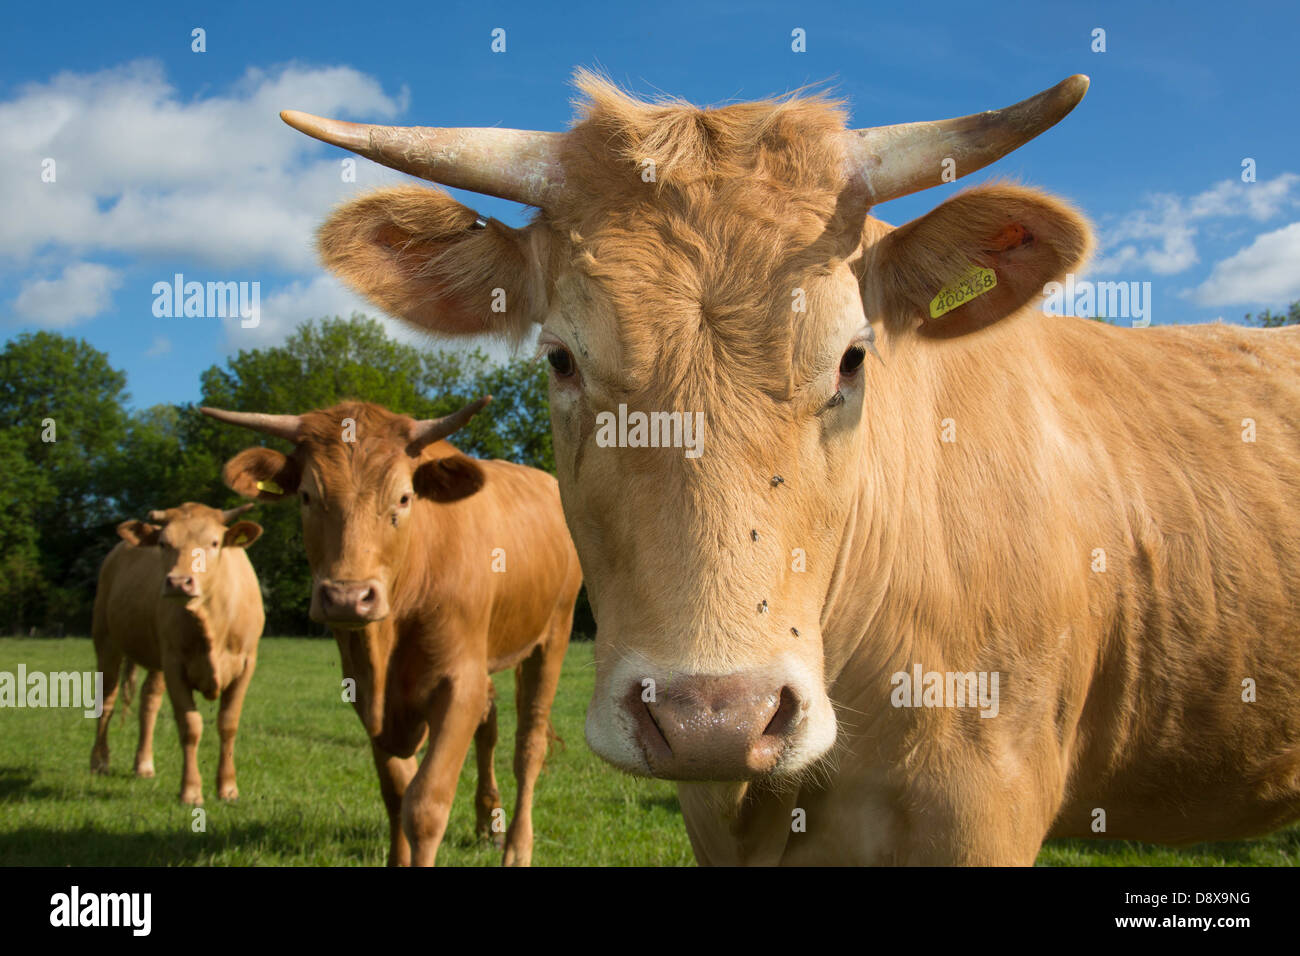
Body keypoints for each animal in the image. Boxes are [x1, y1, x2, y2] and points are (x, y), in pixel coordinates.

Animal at [91, 502, 265, 806]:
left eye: (214, 542)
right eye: (163, 543)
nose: (179, 582)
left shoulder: (246, 664)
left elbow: (228, 723)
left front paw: (228, 787)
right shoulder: (175, 665)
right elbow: (190, 726)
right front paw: (191, 791)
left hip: (154, 655)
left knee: (148, 700)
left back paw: (143, 764)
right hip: (106, 641)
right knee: (107, 699)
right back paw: (99, 762)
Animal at [202, 399, 583, 866]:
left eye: (403, 497)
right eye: (307, 496)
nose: (347, 597)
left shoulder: (460, 682)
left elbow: (425, 804)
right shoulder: (367, 691)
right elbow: (396, 792)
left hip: (553, 635)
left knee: (529, 744)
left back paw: (516, 846)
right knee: (489, 727)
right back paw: (487, 822)